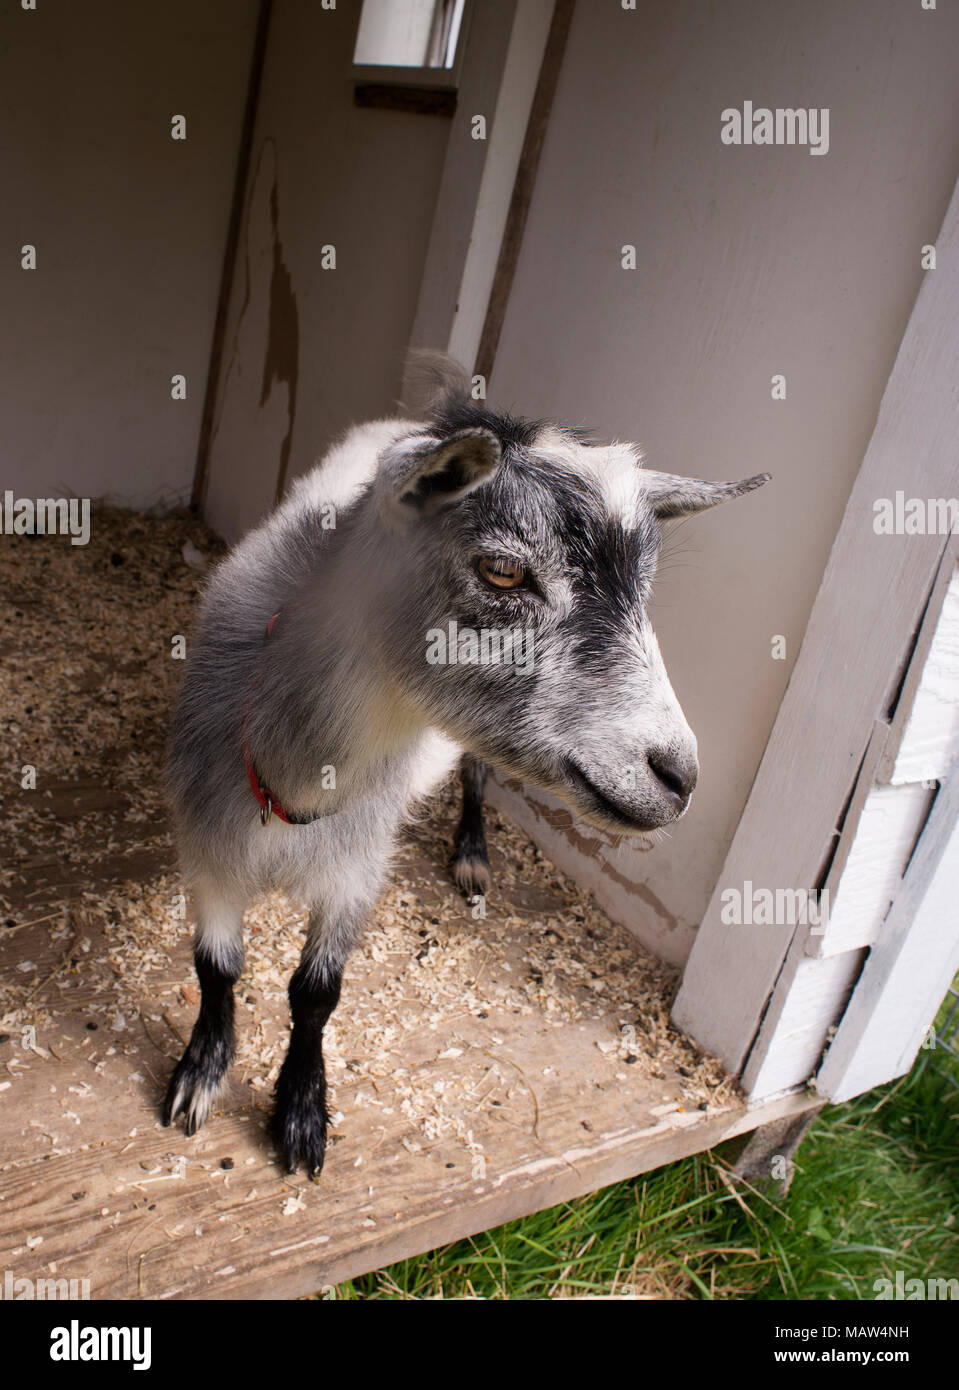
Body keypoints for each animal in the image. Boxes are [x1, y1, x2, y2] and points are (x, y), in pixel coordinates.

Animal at [163, 354, 769, 1174]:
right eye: (503, 572)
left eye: (644, 591)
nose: (677, 776)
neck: (295, 769)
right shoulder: (209, 845)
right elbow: (216, 968)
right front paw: (201, 1072)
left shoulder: (359, 863)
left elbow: (316, 992)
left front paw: (301, 1111)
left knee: (479, 776)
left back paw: (473, 855)